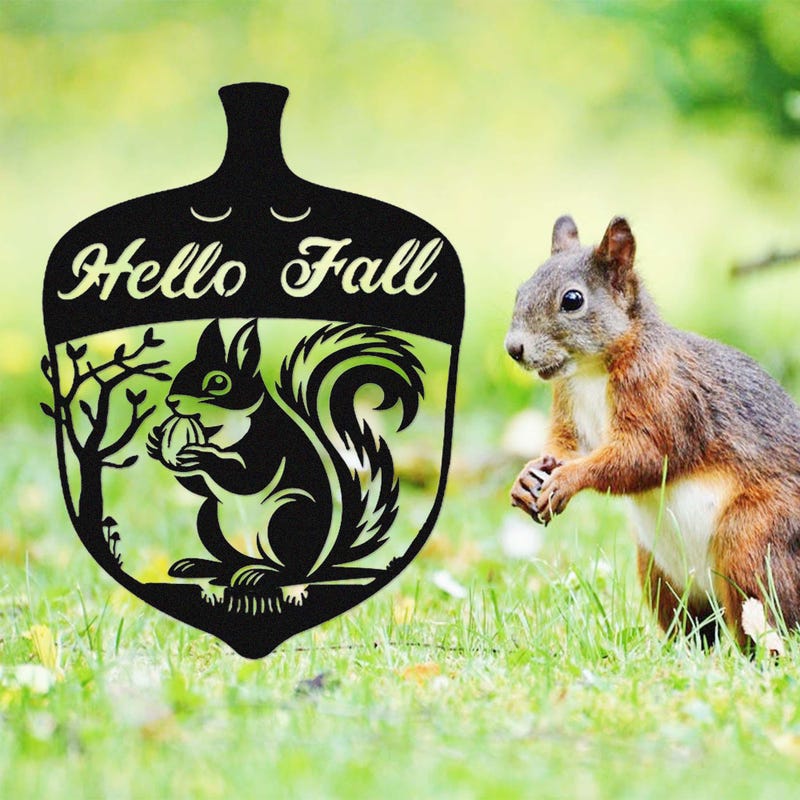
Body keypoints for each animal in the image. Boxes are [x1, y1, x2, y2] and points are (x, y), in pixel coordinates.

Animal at [147, 318, 423, 607]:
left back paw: (261, 573)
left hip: (288, 514)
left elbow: (251, 478)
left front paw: (204, 455)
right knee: (234, 558)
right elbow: (198, 486)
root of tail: (316, 565)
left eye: (218, 382)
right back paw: (208, 566)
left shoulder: (273, 443)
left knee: (290, 571)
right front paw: (156, 443)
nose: (171, 401)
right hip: (210, 515)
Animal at [506, 215, 800, 647]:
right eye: (521, 289)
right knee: (695, 627)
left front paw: (569, 479)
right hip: (658, 571)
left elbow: (642, 457)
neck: (591, 370)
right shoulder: (569, 409)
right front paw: (527, 477)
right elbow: (564, 446)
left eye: (572, 300)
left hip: (753, 542)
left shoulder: (665, 397)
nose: (514, 348)